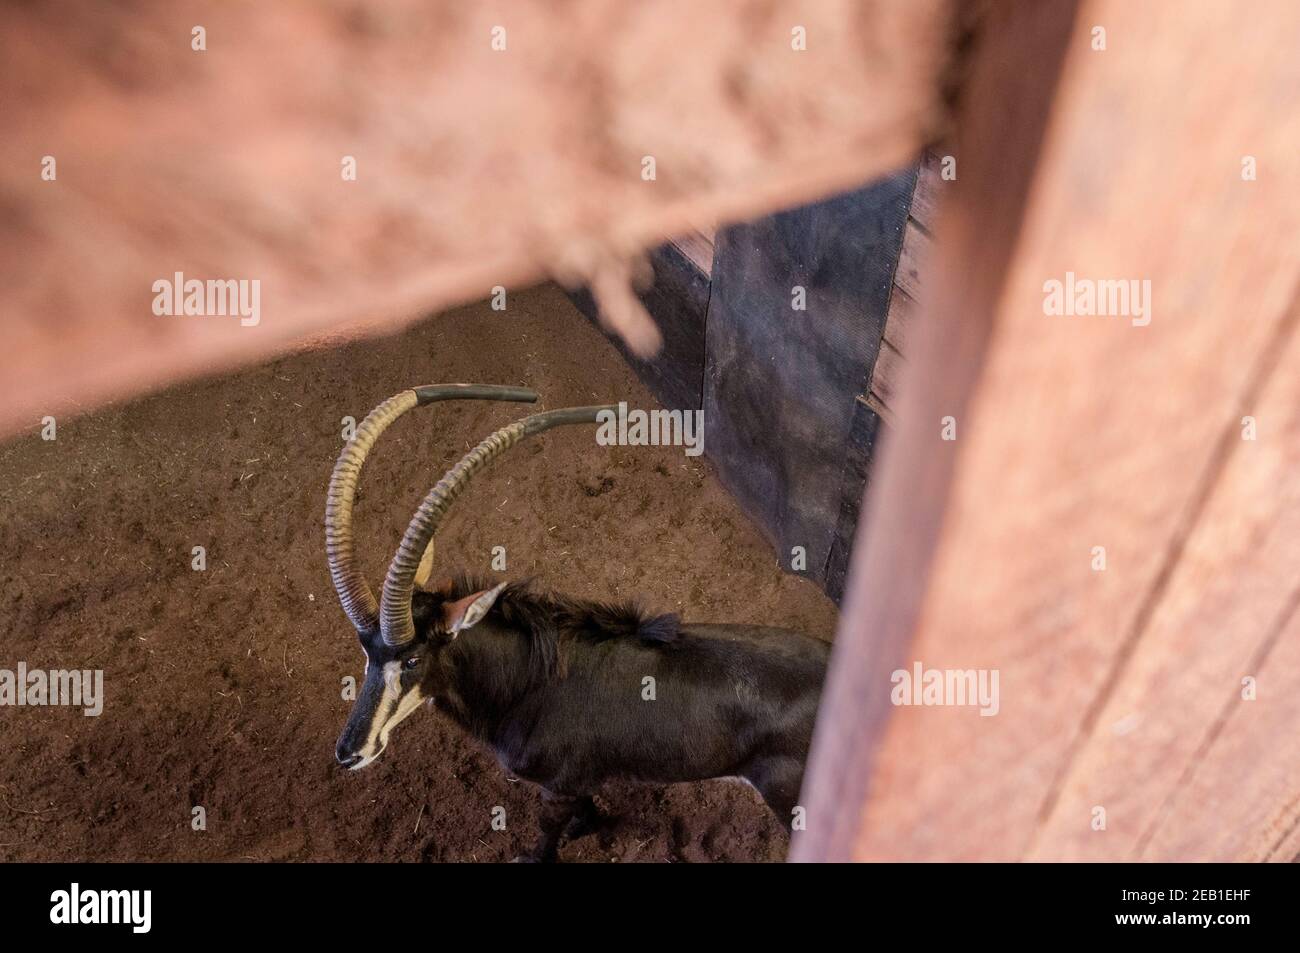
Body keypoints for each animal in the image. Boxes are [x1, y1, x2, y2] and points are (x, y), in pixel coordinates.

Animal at [326, 384, 830, 861]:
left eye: (412, 660)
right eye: (365, 650)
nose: (349, 753)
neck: (526, 682)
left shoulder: (556, 784)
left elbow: (548, 828)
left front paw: (537, 855)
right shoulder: (578, 781)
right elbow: (584, 805)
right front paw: (586, 825)